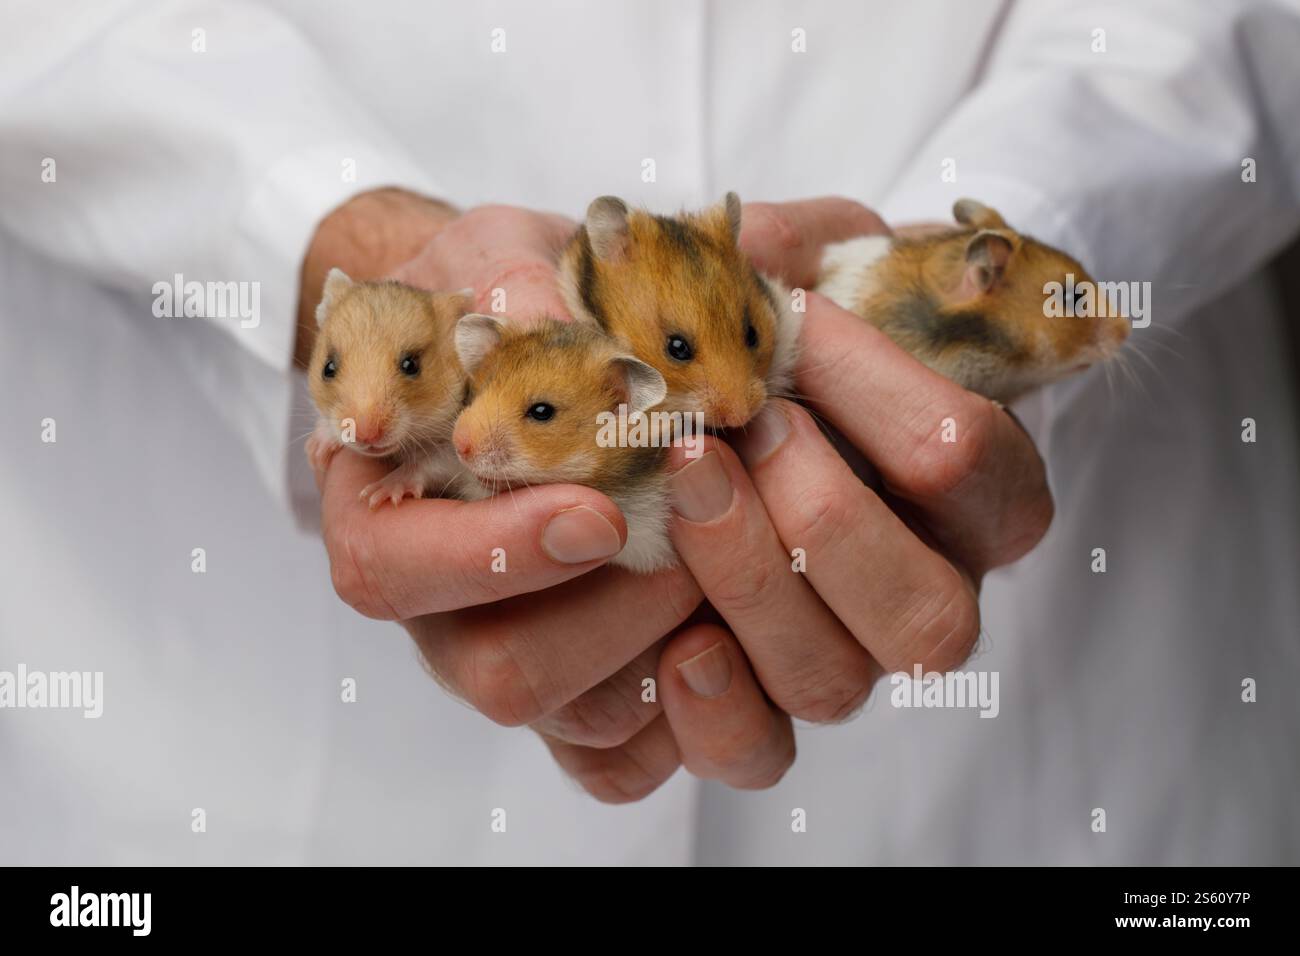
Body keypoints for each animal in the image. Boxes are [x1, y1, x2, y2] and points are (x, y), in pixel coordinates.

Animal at [305, 269, 473, 508]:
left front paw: (381, 492)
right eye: (328, 368)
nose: (366, 436)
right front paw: (315, 451)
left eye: (411, 365)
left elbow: (429, 463)